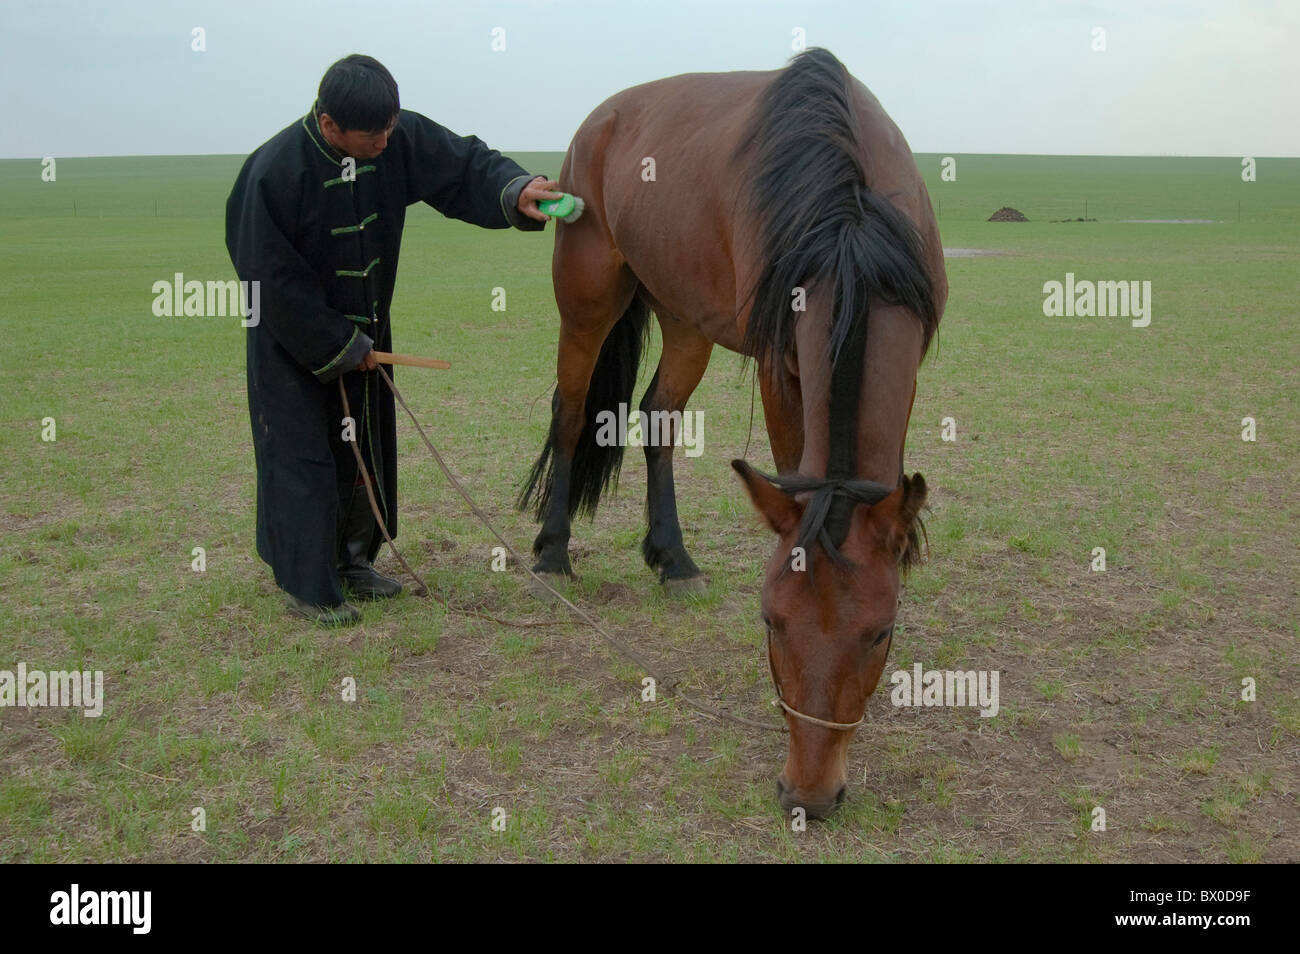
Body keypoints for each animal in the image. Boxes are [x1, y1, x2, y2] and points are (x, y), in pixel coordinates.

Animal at [518, 48, 948, 818]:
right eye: (770, 622)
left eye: (881, 634)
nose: (809, 793)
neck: (852, 232)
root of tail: (603, 118)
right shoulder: (781, 368)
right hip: (589, 295)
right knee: (569, 412)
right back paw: (553, 555)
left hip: (687, 317)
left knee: (657, 416)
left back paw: (673, 560)